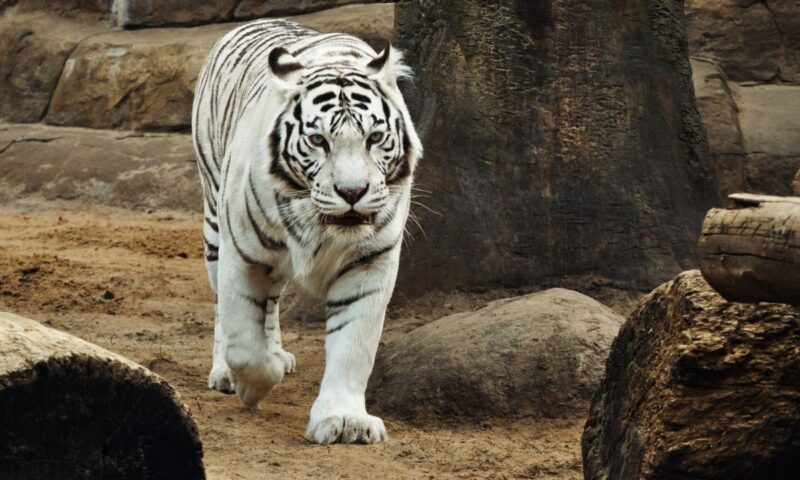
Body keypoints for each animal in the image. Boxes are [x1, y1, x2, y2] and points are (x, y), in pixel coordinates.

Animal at [191, 18, 422, 444]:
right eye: (318, 141)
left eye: (375, 138)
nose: (352, 192)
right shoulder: (243, 255)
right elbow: (243, 341)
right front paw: (253, 385)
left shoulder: (369, 262)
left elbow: (353, 345)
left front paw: (345, 420)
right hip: (215, 223)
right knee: (225, 312)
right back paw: (227, 372)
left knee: (270, 305)